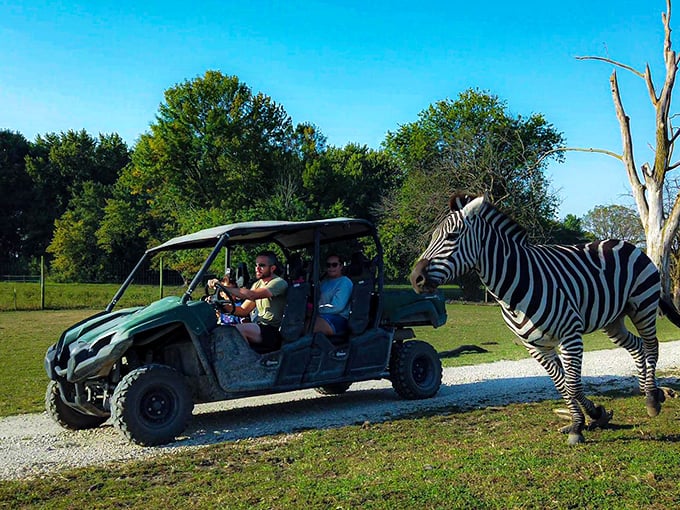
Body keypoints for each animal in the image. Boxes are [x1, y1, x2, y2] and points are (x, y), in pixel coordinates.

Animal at [410, 192, 680, 445]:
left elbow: (572, 384)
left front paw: (579, 427)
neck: (514, 288)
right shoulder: (535, 346)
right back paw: (648, 389)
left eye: (451, 236)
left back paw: (652, 399)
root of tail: (626, 244)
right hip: (612, 320)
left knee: (651, 345)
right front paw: (590, 417)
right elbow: (563, 386)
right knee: (636, 346)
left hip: (642, 305)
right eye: (432, 237)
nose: (415, 279)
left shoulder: (571, 336)